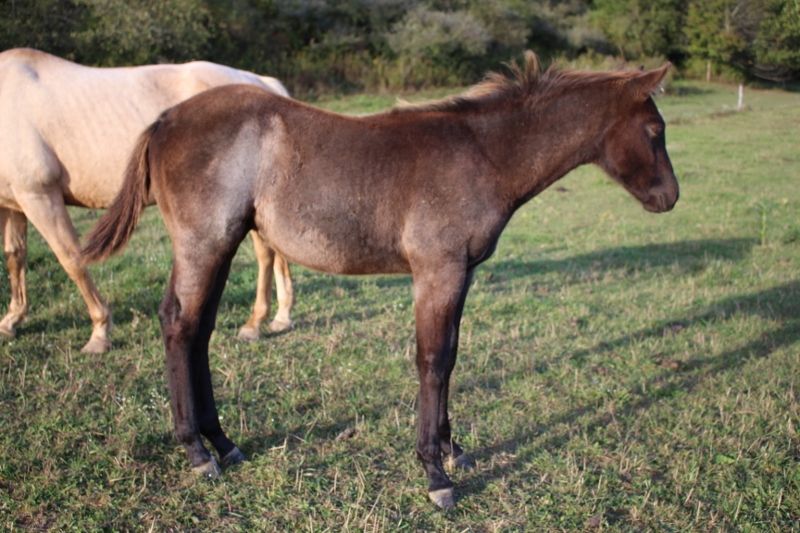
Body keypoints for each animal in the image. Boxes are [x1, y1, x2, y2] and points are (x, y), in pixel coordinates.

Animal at [0, 48, 294, 353]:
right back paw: (281, 318)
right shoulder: (12, 206)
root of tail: (259, 82)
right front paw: (10, 321)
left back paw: (255, 323)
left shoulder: (38, 195)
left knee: (265, 254)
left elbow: (71, 259)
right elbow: (15, 256)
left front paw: (99, 332)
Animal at [82, 52, 679, 509]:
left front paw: (453, 449)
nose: (670, 198)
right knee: (179, 324)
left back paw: (223, 443)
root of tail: (164, 121)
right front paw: (436, 475)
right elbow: (432, 361)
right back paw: (197, 451)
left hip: (221, 245)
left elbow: (450, 356)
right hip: (204, 242)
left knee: (198, 330)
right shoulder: (437, 270)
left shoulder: (459, 274)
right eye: (655, 130)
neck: (481, 154)